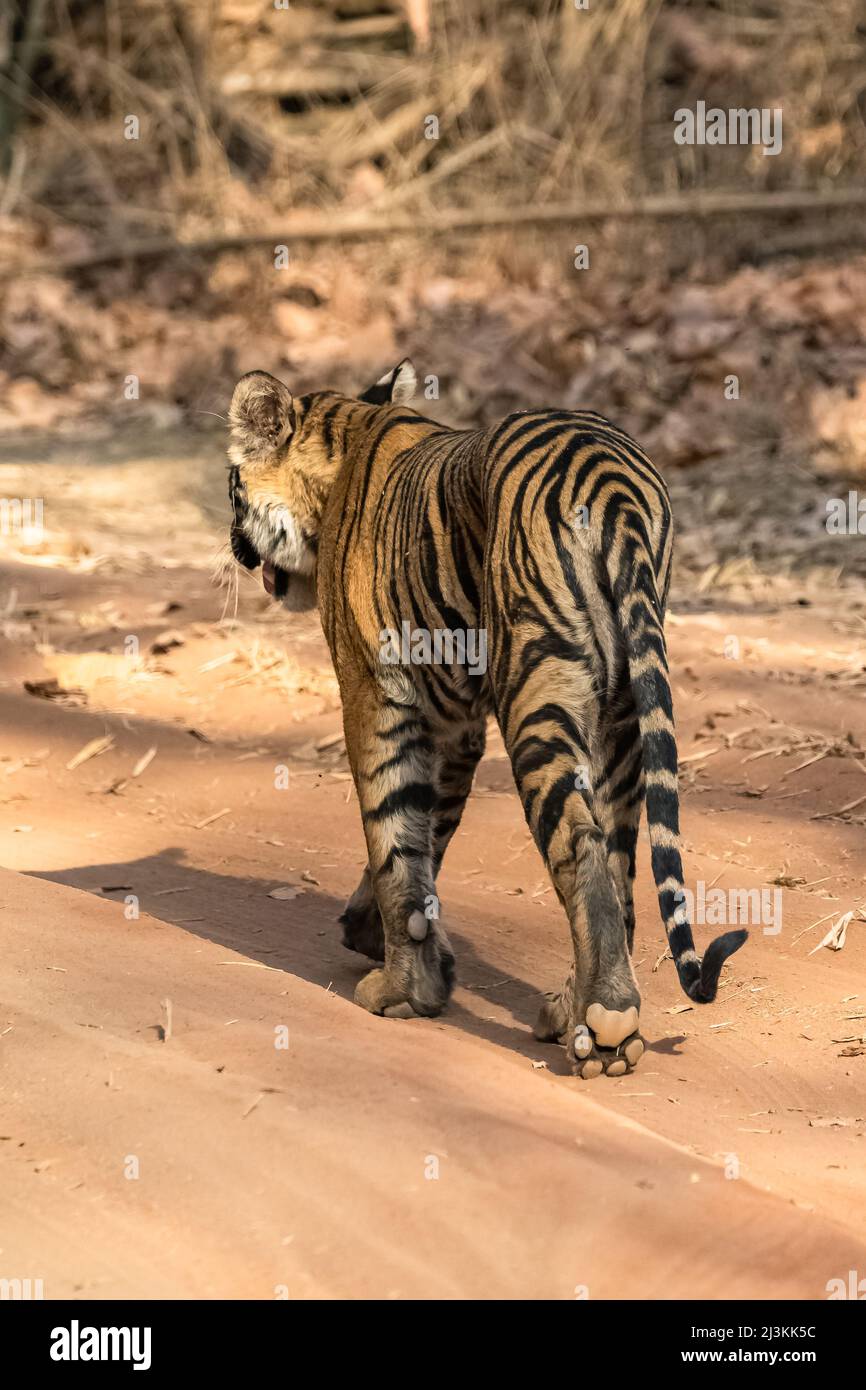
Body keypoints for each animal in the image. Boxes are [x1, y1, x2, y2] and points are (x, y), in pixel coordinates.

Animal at [226, 359, 746, 1077]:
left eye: (230, 486)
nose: (232, 546)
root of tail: (611, 477)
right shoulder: (453, 727)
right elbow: (426, 839)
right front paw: (394, 947)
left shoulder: (373, 694)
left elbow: (392, 839)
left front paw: (399, 990)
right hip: (620, 716)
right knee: (619, 860)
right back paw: (572, 1012)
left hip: (539, 689)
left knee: (582, 844)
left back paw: (606, 1027)